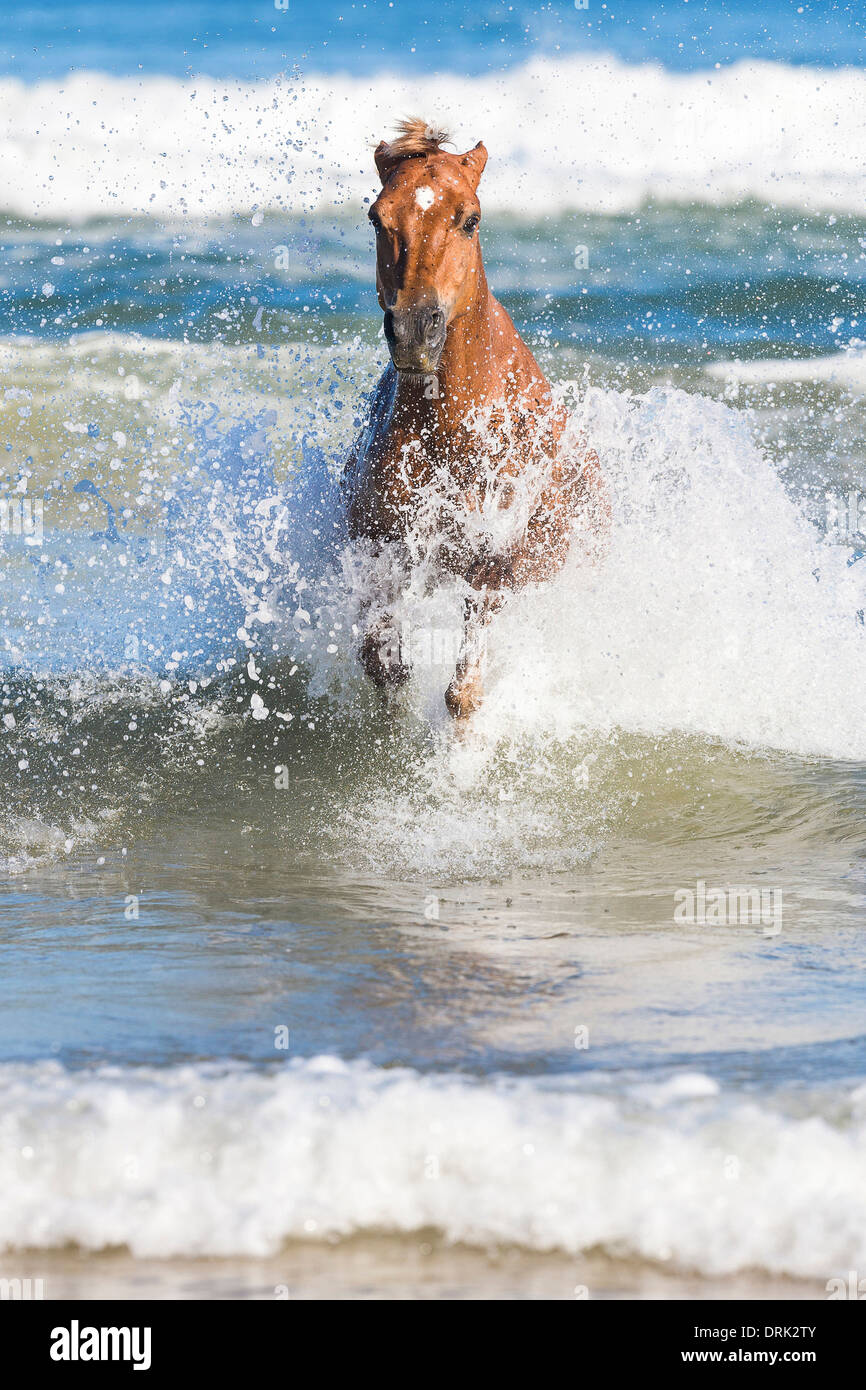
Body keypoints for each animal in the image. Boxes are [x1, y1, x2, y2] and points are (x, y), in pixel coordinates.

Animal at [342, 119, 608, 719]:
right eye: (377, 217)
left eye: (470, 219)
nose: (415, 331)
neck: (453, 429)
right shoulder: (383, 548)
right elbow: (382, 660)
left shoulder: (496, 566)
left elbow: (462, 693)